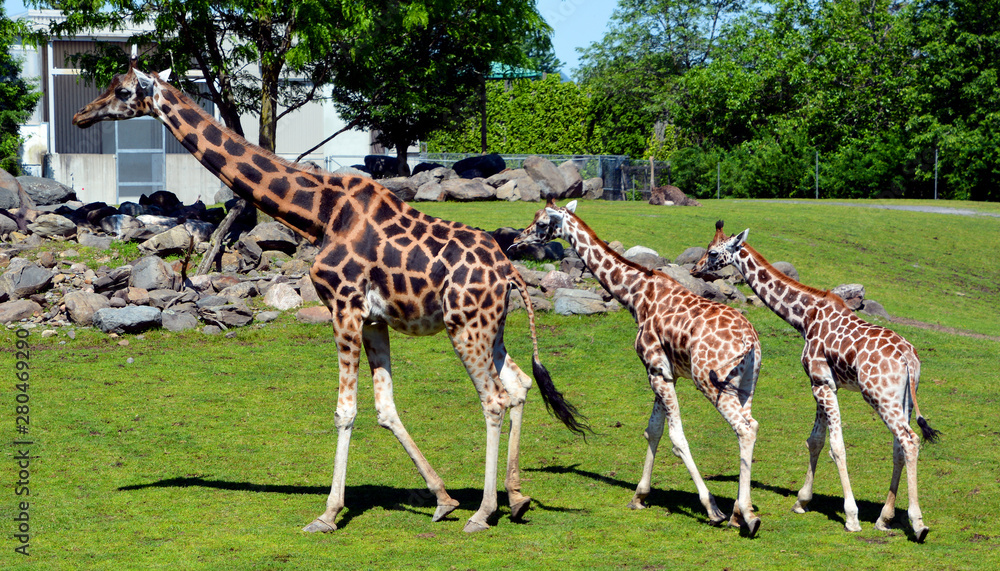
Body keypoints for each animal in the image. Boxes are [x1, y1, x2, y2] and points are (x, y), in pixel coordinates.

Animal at [72, 57, 589, 533]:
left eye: (122, 91)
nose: (80, 115)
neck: (318, 212)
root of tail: (510, 271)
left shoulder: (343, 306)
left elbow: (345, 411)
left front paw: (327, 513)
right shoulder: (375, 318)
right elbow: (385, 409)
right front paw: (442, 499)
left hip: (466, 327)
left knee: (494, 400)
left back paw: (484, 512)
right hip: (490, 327)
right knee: (518, 385)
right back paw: (516, 498)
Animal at [512, 200, 763, 537]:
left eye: (541, 223)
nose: (517, 239)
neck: (635, 295)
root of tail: (750, 342)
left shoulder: (655, 369)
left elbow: (676, 437)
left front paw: (711, 508)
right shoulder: (664, 372)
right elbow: (653, 430)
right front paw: (640, 496)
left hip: (712, 382)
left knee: (744, 429)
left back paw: (746, 516)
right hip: (747, 383)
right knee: (752, 425)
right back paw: (740, 512)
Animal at [695, 220, 940, 541]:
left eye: (712, 252)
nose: (696, 268)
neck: (804, 316)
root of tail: (909, 358)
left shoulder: (821, 382)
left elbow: (836, 446)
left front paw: (851, 517)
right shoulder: (823, 383)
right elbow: (816, 440)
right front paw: (802, 501)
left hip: (880, 395)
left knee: (909, 441)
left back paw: (918, 524)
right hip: (904, 398)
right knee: (899, 445)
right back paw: (885, 519)